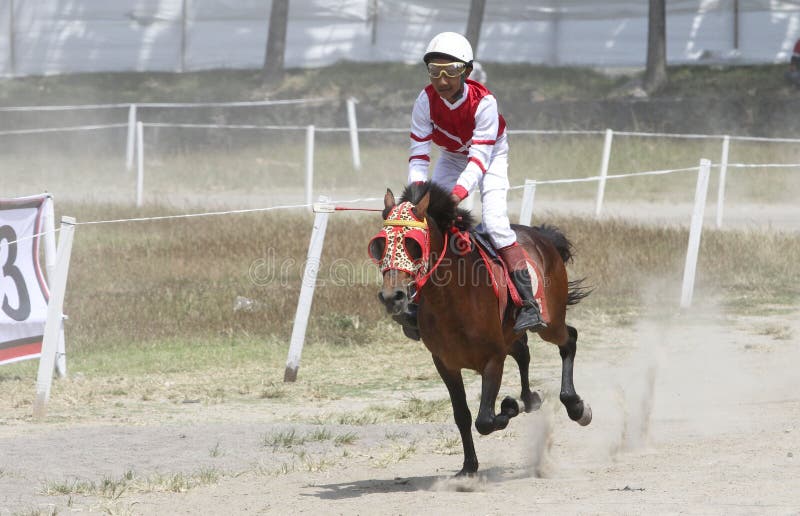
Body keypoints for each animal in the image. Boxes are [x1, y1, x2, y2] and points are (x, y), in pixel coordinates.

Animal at [368, 181, 592, 476]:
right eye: (380, 244)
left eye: (412, 243)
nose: (391, 297)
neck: (452, 300)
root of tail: (541, 236)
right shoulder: (445, 364)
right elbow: (462, 415)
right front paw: (468, 467)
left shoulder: (493, 359)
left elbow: (484, 419)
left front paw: (509, 406)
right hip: (513, 333)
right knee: (524, 352)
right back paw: (529, 398)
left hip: (549, 323)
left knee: (569, 340)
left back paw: (575, 405)